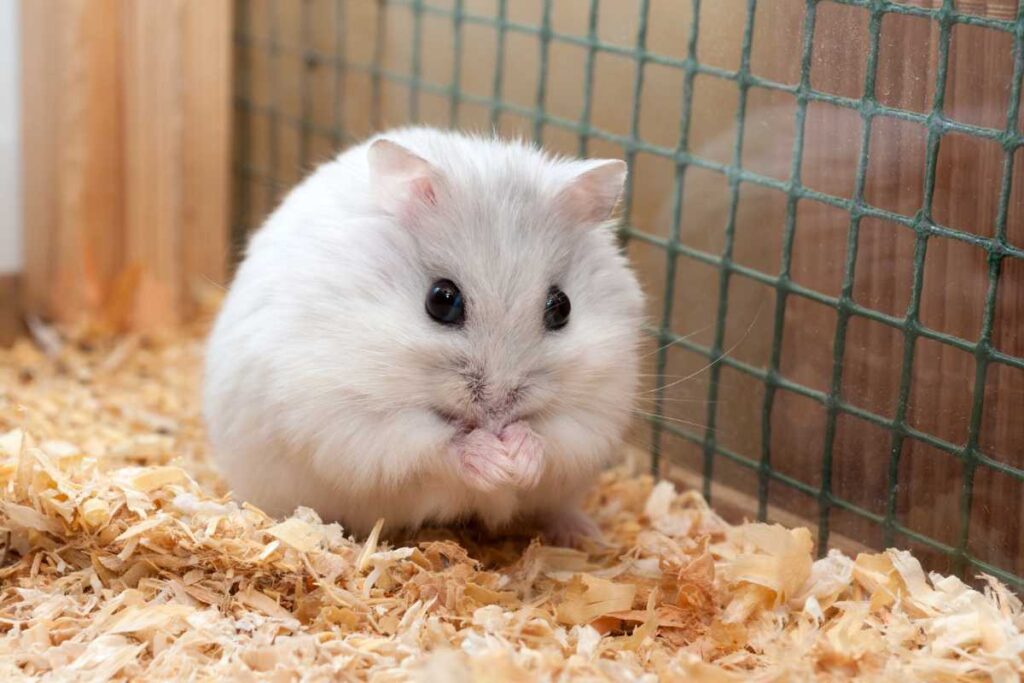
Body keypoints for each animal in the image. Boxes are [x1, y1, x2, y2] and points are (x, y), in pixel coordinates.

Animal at [203, 127, 644, 545]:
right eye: (442, 300)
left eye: (562, 307)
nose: (498, 413)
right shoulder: (351, 416)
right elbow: (433, 446)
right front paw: (494, 461)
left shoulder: (596, 410)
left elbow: (554, 437)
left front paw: (517, 458)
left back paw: (584, 535)